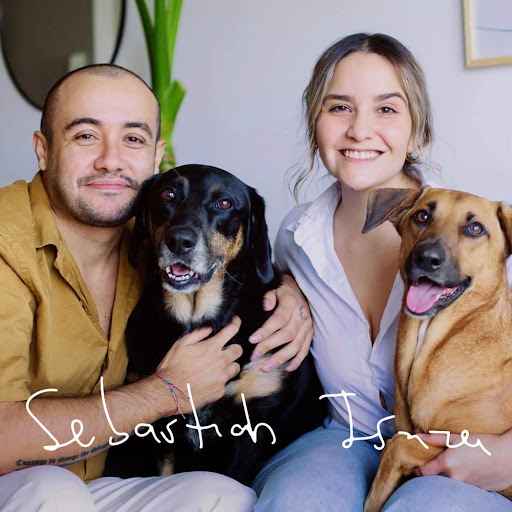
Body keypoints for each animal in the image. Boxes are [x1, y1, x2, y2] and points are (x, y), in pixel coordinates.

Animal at [106, 166, 326, 486]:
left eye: (224, 203)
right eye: (168, 194)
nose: (179, 240)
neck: (196, 319)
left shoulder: (249, 427)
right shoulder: (157, 427)